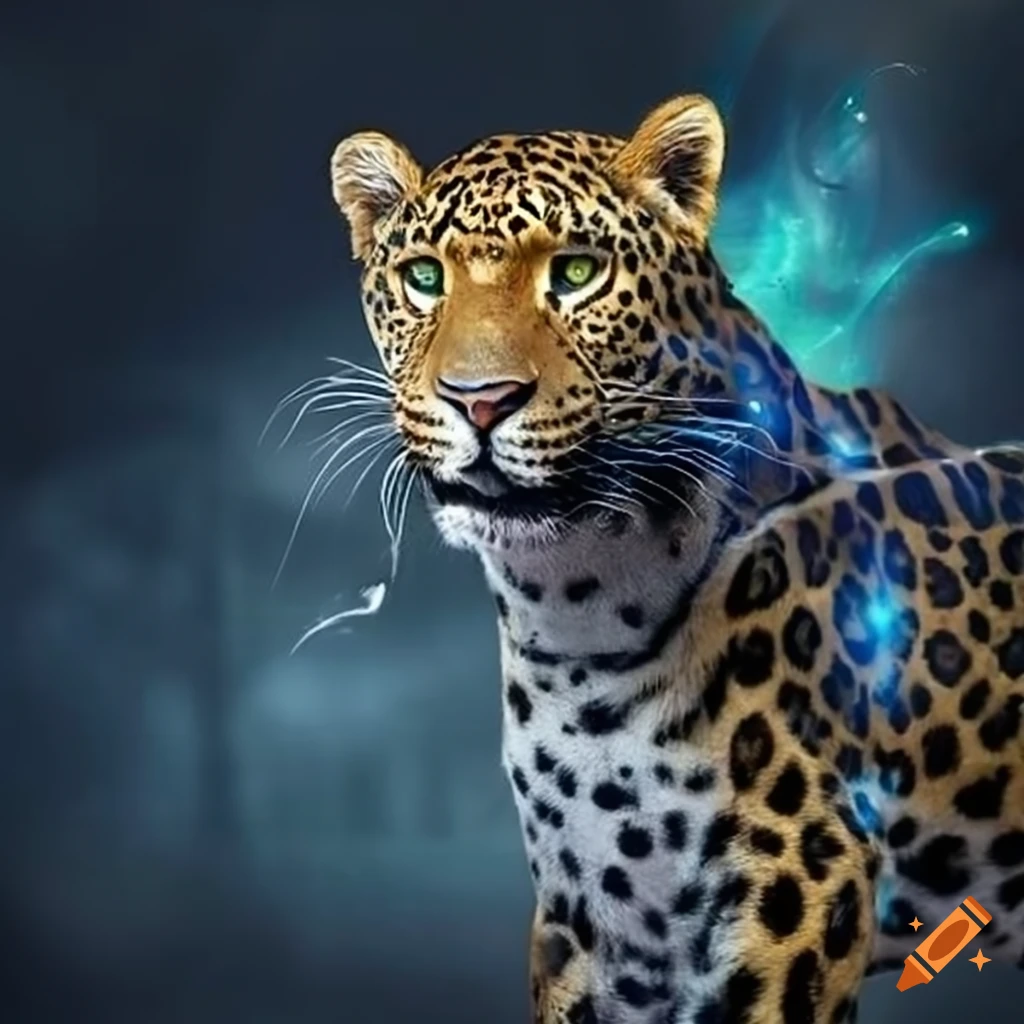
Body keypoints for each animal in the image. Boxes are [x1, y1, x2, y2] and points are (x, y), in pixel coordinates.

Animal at [325, 93, 1024, 1023]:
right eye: (425, 279)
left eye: (576, 273)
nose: (479, 399)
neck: (580, 617)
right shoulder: (597, 914)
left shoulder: (798, 882)